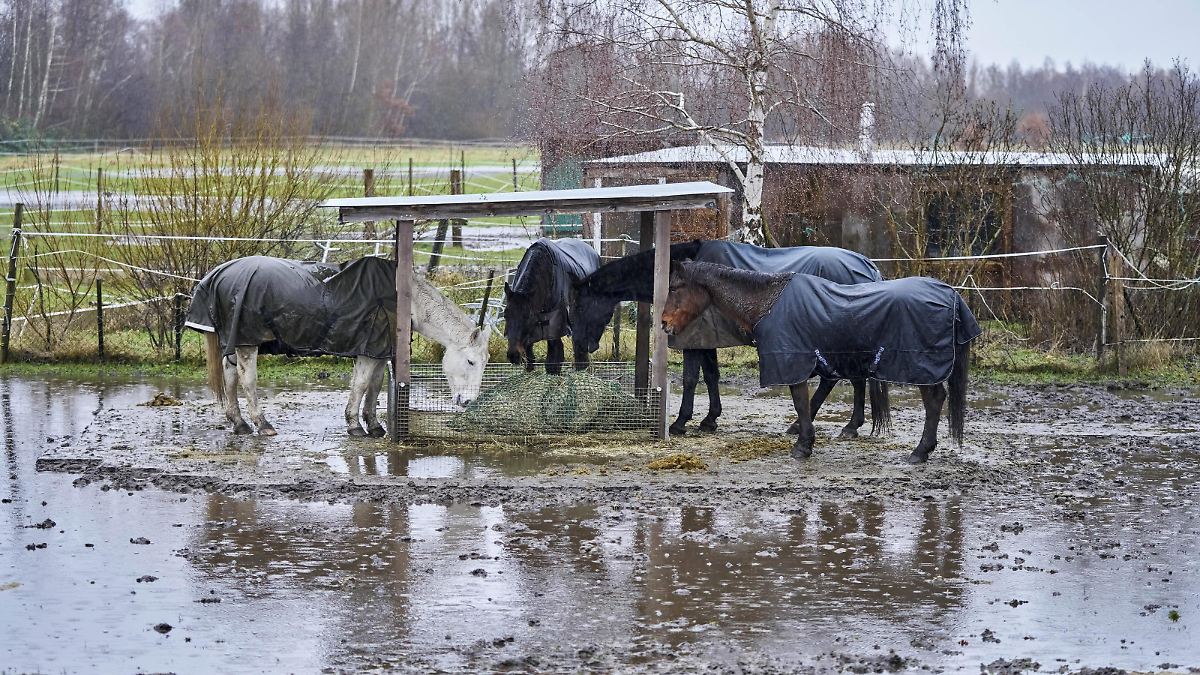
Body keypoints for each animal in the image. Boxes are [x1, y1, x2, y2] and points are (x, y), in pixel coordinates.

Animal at [186, 255, 491, 437]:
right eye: (471, 362)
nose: (468, 402)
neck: (404, 299)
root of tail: (219, 273)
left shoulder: (376, 352)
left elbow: (374, 385)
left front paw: (374, 425)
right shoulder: (368, 350)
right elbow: (361, 385)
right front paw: (355, 425)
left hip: (238, 343)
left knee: (229, 376)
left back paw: (239, 424)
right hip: (249, 343)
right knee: (246, 380)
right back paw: (263, 424)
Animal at [503, 237, 600, 374]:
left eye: (527, 317)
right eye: (505, 315)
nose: (513, 355)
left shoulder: (554, 324)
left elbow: (554, 355)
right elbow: (530, 354)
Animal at [572, 240, 889, 437]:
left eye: (579, 306)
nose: (582, 348)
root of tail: (867, 266)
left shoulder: (694, 338)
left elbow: (691, 378)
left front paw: (680, 422)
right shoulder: (707, 339)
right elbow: (711, 375)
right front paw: (710, 418)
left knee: (849, 378)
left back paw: (846, 426)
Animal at [661, 260, 980, 463]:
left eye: (675, 287)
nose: (664, 324)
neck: (769, 303)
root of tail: (951, 295)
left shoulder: (793, 364)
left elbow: (801, 404)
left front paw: (803, 446)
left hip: (922, 367)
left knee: (934, 401)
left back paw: (919, 451)